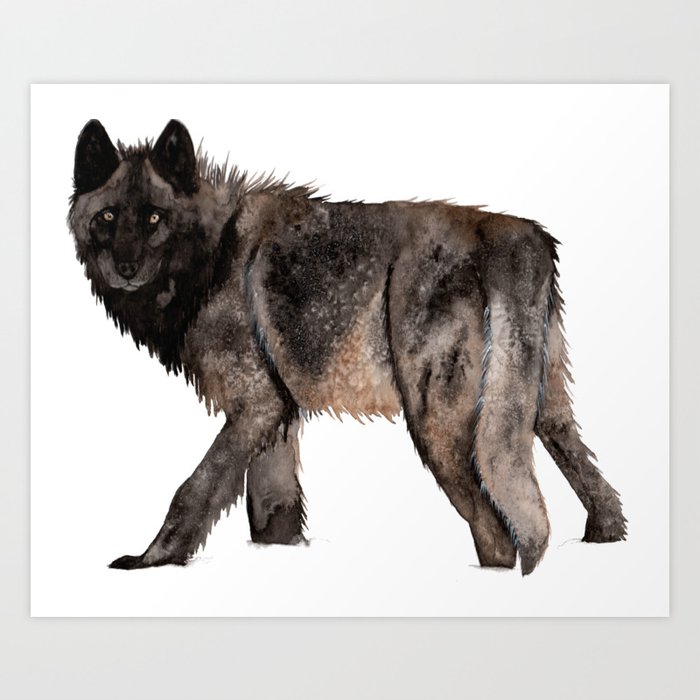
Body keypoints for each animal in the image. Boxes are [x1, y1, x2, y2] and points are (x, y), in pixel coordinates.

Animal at [68, 119, 626, 575]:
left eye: (154, 219)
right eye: (109, 217)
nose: (125, 268)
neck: (214, 253)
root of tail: (516, 233)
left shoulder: (256, 406)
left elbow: (193, 489)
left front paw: (152, 559)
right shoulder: (278, 415)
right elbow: (273, 514)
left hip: (440, 432)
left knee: (498, 533)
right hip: (541, 411)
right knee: (584, 470)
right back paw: (606, 536)